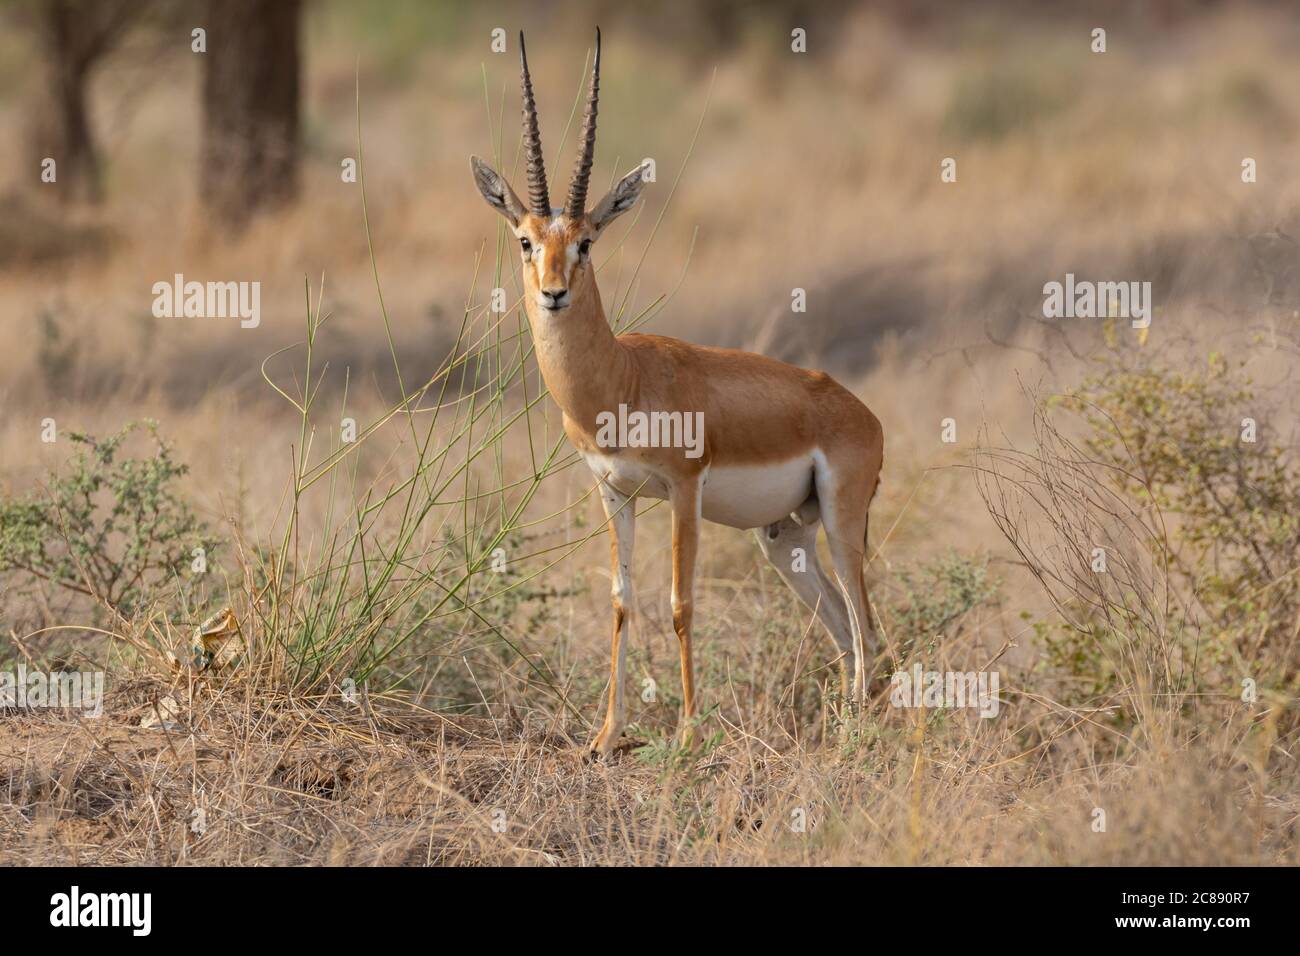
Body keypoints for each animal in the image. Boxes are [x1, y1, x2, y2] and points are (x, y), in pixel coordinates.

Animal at [471, 30, 884, 758]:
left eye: (586, 241)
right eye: (525, 241)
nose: (554, 293)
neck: (621, 380)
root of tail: (864, 416)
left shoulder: (683, 490)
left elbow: (681, 603)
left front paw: (690, 733)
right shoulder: (614, 493)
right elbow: (620, 602)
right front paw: (606, 736)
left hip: (842, 523)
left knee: (868, 628)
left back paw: (855, 738)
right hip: (785, 538)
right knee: (843, 626)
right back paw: (842, 729)